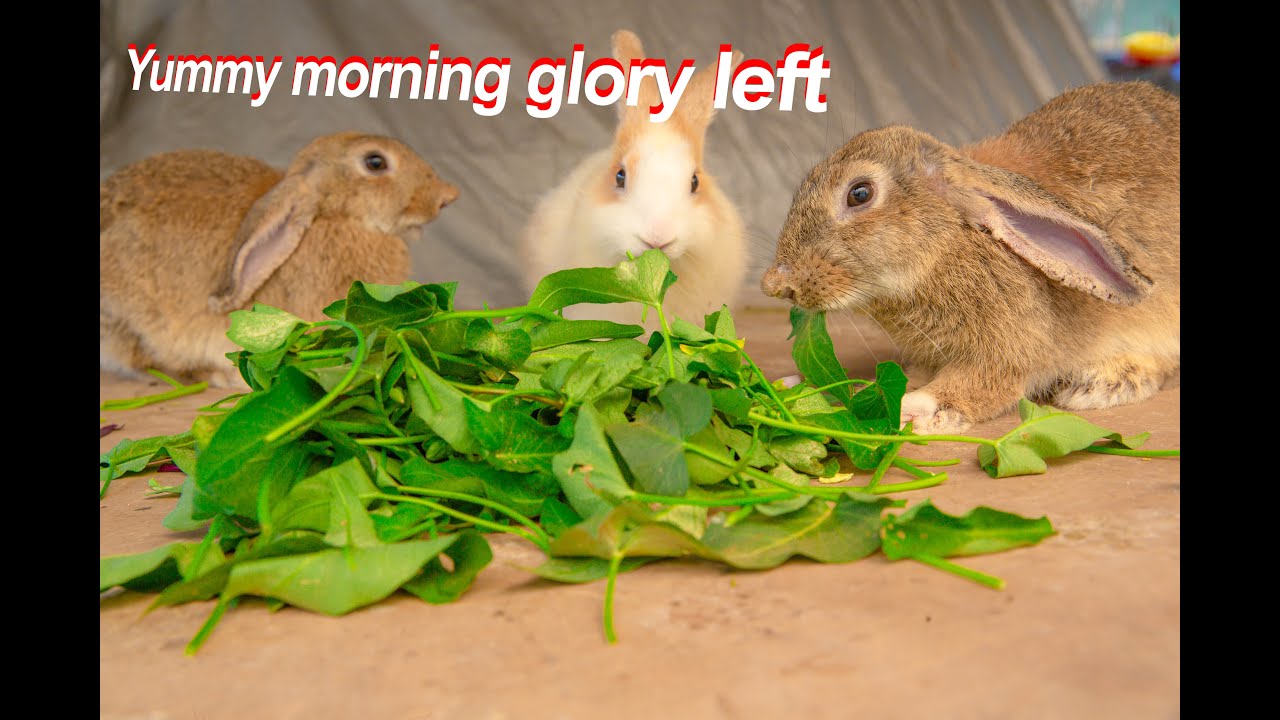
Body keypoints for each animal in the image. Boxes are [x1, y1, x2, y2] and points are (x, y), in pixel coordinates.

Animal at [760, 81, 1179, 433]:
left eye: (859, 194)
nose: (776, 283)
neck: (949, 243)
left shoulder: (1011, 347)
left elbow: (978, 386)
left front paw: (911, 409)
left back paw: (1102, 384)